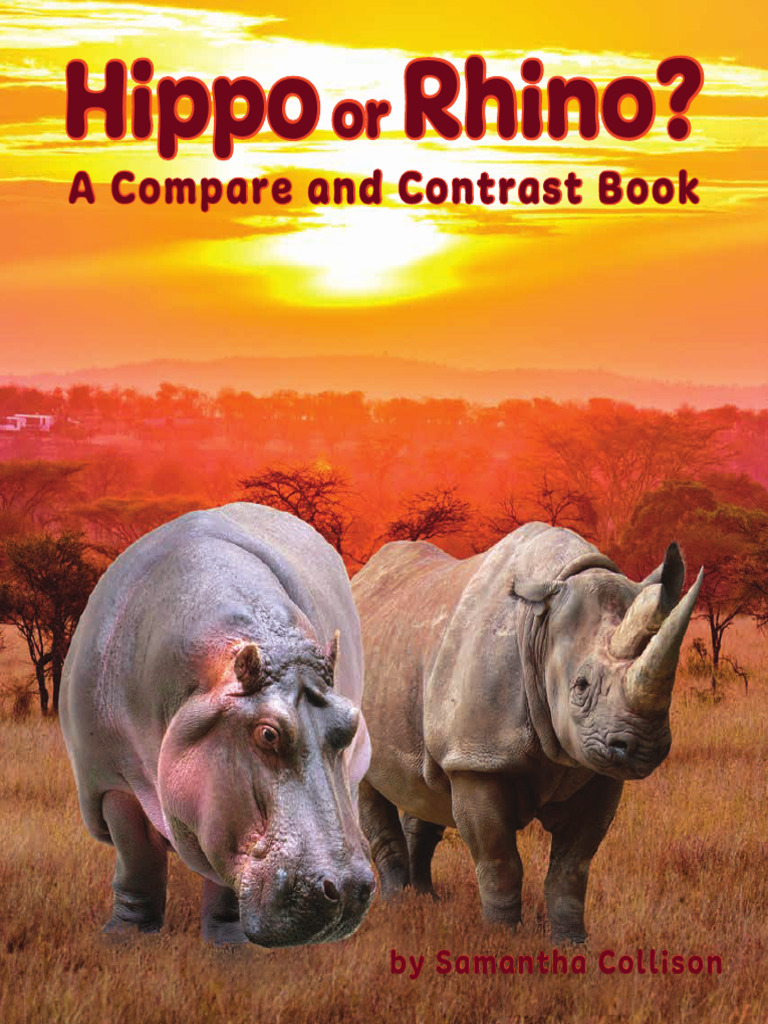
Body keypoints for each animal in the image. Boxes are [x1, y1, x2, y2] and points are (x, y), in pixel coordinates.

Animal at [60, 503, 375, 946]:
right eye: (267, 733)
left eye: (349, 722)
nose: (346, 890)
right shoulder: (110, 782)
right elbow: (138, 860)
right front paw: (124, 938)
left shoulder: (223, 815)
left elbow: (223, 877)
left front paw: (227, 946)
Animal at [352, 523, 702, 943]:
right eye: (581, 686)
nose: (644, 747)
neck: (542, 629)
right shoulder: (476, 759)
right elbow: (500, 861)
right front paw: (501, 939)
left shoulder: (598, 773)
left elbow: (573, 867)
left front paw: (572, 943)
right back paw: (397, 906)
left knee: (425, 788)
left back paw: (425, 901)